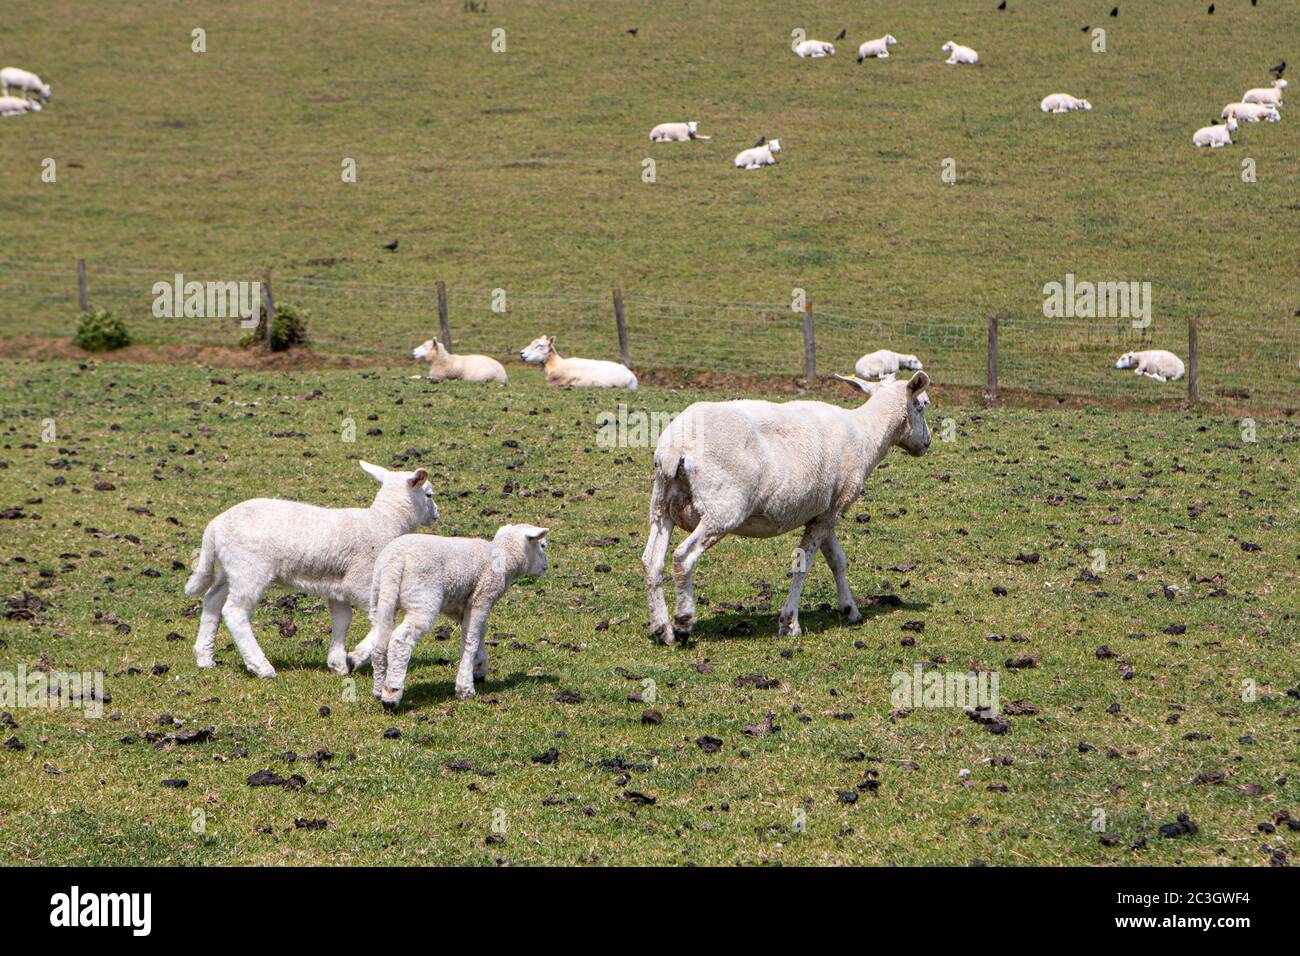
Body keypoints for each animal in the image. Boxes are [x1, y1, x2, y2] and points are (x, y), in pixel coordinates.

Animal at [185, 460, 439, 678]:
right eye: (429, 495)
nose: (437, 515)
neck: (384, 522)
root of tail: (215, 526)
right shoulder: (361, 580)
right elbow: (382, 618)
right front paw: (355, 657)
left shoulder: (338, 587)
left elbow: (342, 618)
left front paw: (338, 662)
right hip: (250, 568)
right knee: (234, 611)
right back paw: (260, 666)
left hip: (232, 567)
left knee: (212, 599)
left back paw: (205, 657)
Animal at [359, 524, 549, 707]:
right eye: (543, 545)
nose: (546, 566)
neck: (503, 559)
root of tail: (394, 562)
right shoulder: (482, 598)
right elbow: (471, 640)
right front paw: (465, 689)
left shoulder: (461, 606)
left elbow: (478, 633)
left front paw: (479, 670)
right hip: (423, 597)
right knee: (401, 641)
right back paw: (391, 696)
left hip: (379, 595)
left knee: (379, 642)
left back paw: (378, 690)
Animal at [642, 371, 932, 643]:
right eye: (922, 404)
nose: (927, 443)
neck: (867, 433)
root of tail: (677, 446)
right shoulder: (830, 511)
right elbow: (803, 565)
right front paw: (789, 623)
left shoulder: (825, 511)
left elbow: (837, 560)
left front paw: (850, 609)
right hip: (722, 508)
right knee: (682, 557)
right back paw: (683, 622)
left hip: (662, 504)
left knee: (651, 560)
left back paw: (661, 629)